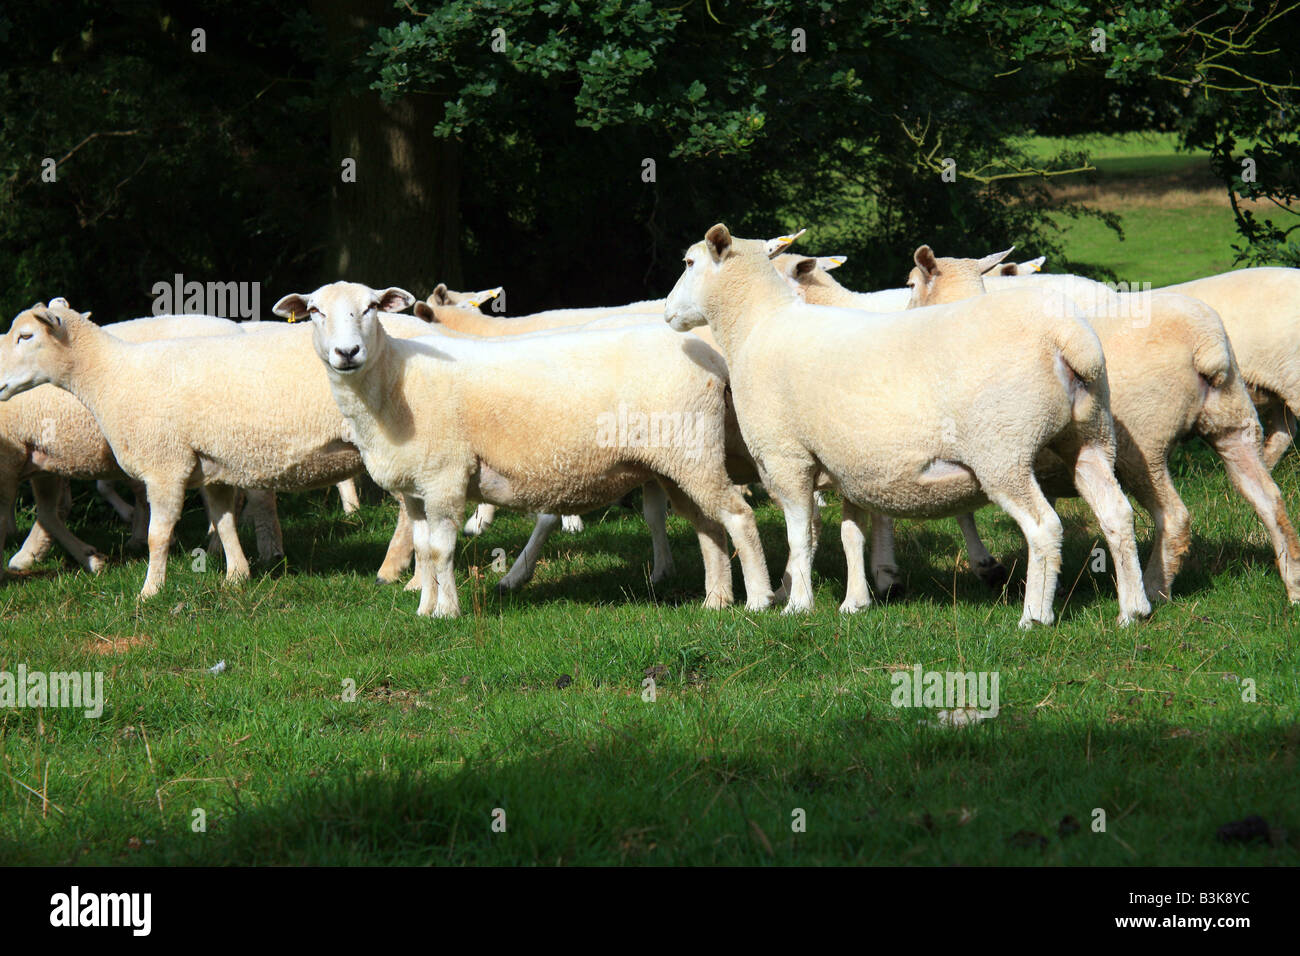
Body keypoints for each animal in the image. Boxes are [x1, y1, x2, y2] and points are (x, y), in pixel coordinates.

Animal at [272, 281, 773, 618]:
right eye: (314, 311)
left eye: (371, 308)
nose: (347, 352)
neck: (395, 384)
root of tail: (711, 358)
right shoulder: (417, 490)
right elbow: (423, 549)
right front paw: (425, 609)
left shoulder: (444, 477)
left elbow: (441, 550)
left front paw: (447, 612)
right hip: (677, 465)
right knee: (709, 528)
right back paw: (716, 601)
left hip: (693, 454)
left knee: (739, 516)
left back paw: (760, 600)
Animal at [665, 224, 1151, 627]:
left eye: (688, 263)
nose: (667, 313)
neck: (755, 326)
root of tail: (1068, 337)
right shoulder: (846, 464)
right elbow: (850, 534)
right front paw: (855, 602)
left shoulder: (787, 457)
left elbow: (800, 534)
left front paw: (798, 604)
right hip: (1089, 438)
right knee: (1116, 514)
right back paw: (1134, 609)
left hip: (1002, 451)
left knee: (1044, 527)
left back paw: (1035, 615)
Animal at [802, 247, 1300, 605]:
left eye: (910, 283)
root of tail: (1207, 343)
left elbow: (921, 507)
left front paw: (893, 577)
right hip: (1233, 423)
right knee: (1269, 500)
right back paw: (1292, 586)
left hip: (1144, 443)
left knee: (1174, 518)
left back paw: (1153, 589)